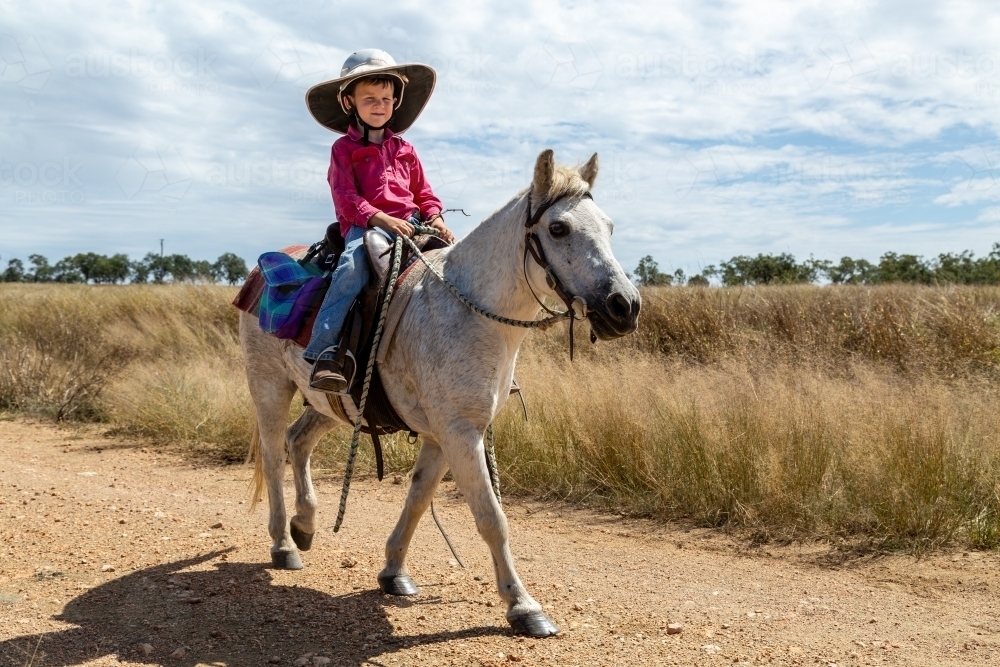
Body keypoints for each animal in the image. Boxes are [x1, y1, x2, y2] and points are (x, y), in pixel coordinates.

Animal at [239, 149, 641, 637]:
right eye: (558, 228)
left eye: (609, 227)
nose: (625, 306)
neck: (471, 312)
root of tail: (261, 273)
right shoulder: (460, 433)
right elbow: (491, 518)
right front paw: (523, 605)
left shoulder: (440, 436)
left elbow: (417, 500)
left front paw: (393, 573)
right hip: (269, 387)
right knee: (273, 456)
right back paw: (283, 544)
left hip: (331, 403)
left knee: (298, 442)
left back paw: (305, 525)